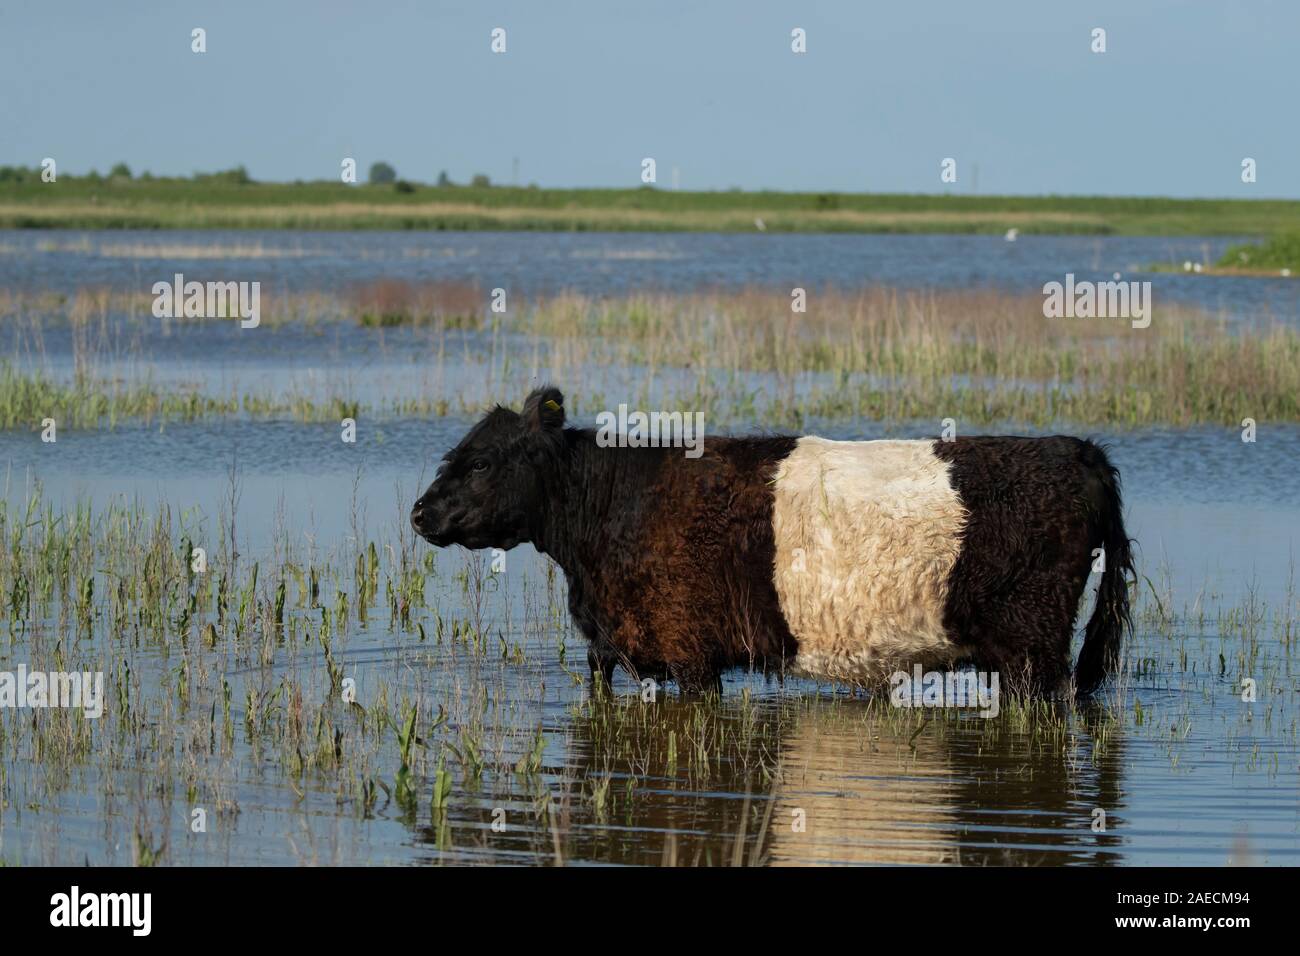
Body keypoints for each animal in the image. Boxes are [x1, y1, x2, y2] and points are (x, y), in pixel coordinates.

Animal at [411, 386, 1134, 698]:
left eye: (480, 463)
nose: (419, 513)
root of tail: (1077, 449)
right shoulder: (608, 648)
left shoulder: (690, 653)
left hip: (1032, 647)